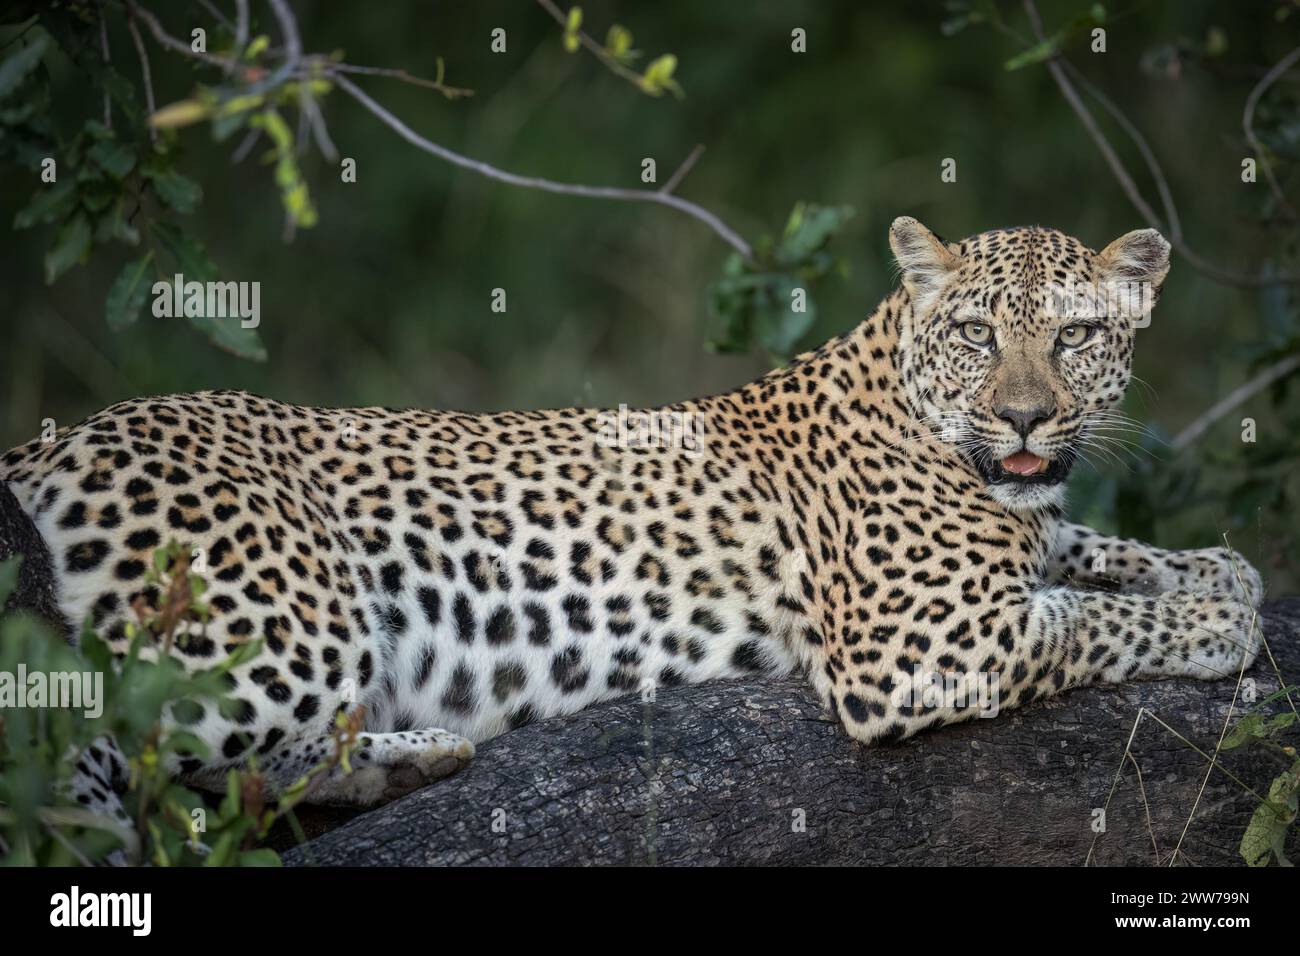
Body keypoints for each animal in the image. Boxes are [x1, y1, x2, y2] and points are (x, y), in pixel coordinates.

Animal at [0, 217, 1266, 836]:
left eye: (1073, 336)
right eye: (973, 331)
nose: (1024, 415)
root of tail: (42, 444)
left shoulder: (1013, 549)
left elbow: (1089, 555)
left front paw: (1218, 568)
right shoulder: (914, 644)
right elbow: (1081, 618)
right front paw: (1217, 621)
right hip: (290, 619)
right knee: (149, 758)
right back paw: (412, 755)